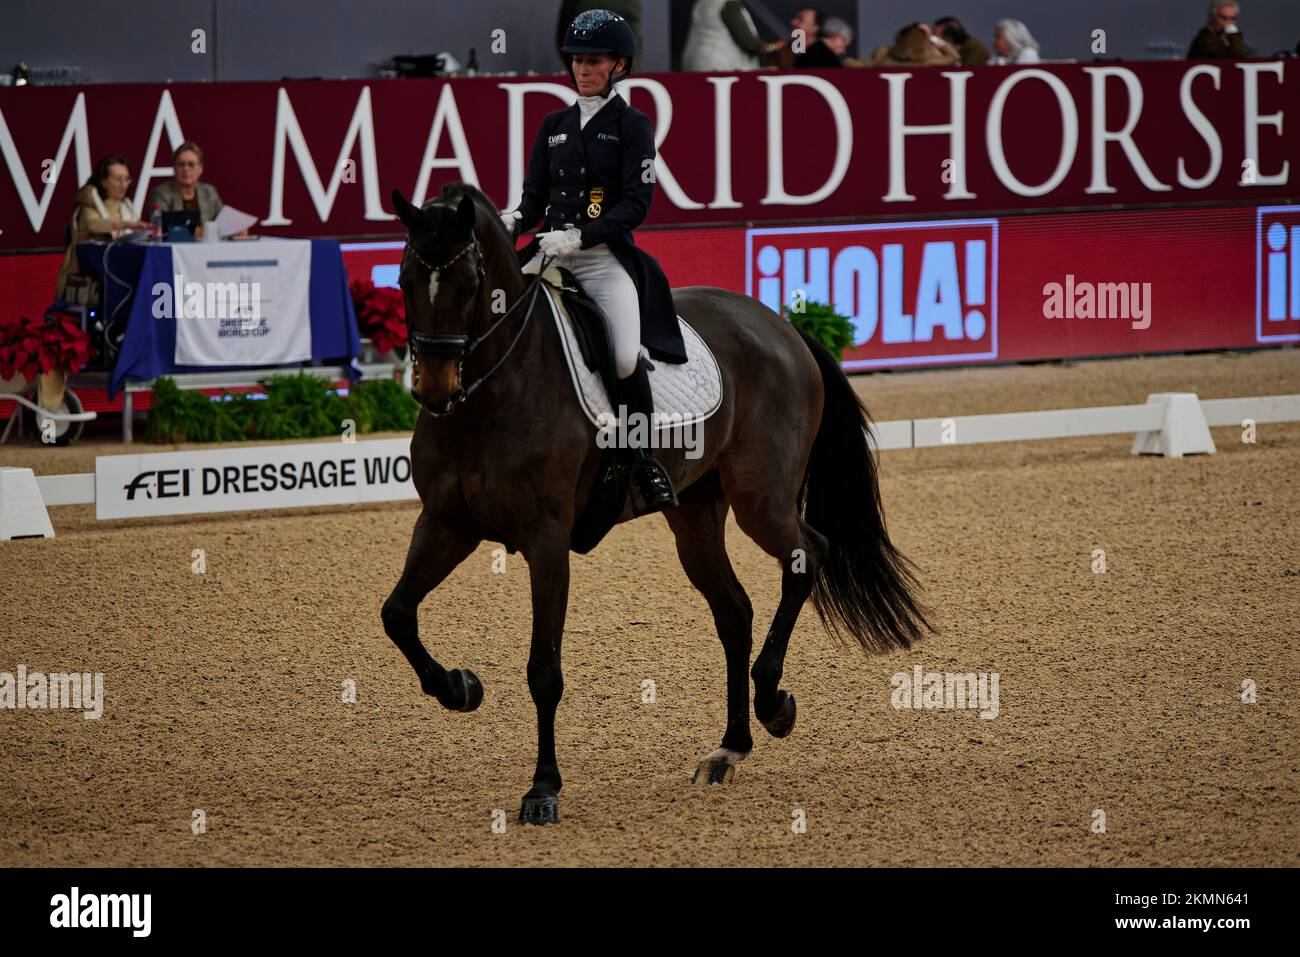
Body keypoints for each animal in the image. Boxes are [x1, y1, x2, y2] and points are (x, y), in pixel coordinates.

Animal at [382, 182, 931, 825]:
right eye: (404, 280)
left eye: (471, 282)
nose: (435, 390)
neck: (492, 395)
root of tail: (779, 325)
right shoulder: (446, 524)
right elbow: (397, 614)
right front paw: (461, 688)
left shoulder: (546, 541)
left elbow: (544, 670)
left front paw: (542, 789)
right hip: (694, 514)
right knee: (734, 609)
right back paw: (729, 749)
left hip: (760, 500)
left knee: (807, 556)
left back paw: (773, 703)